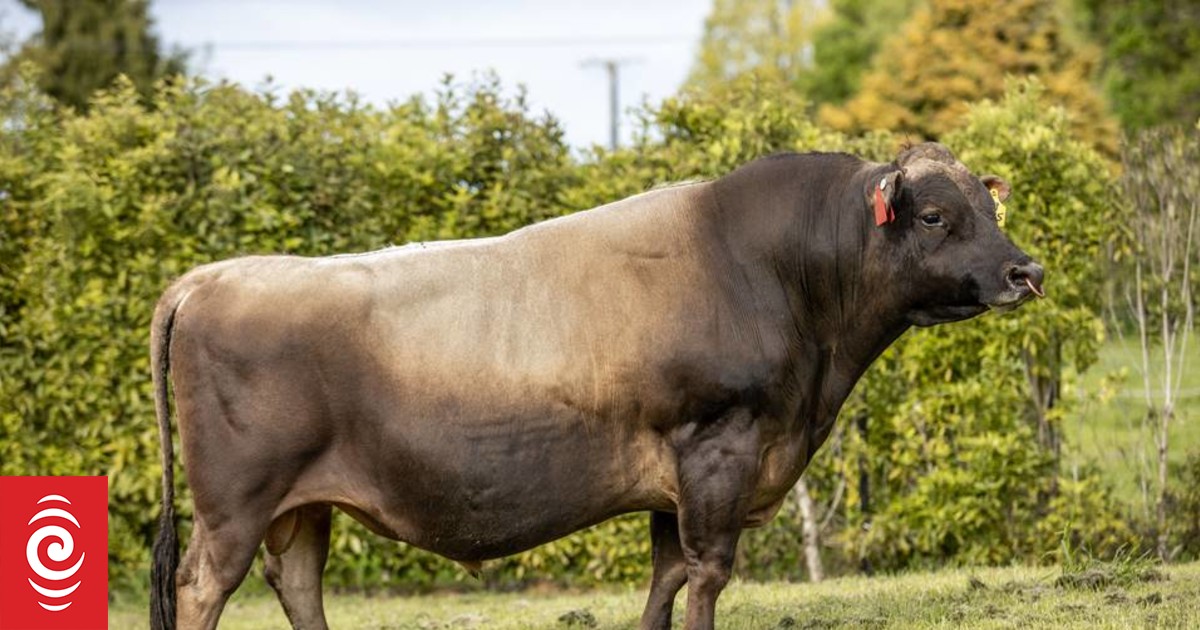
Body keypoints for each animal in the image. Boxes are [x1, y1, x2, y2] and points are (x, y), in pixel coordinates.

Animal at [149, 142, 1043, 630]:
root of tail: (208, 277)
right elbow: (706, 574)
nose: (1024, 270)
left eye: (990, 208)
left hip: (302, 505)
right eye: (935, 215)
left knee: (297, 584)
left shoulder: (675, 477)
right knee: (202, 587)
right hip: (235, 502)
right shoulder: (719, 446)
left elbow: (667, 578)